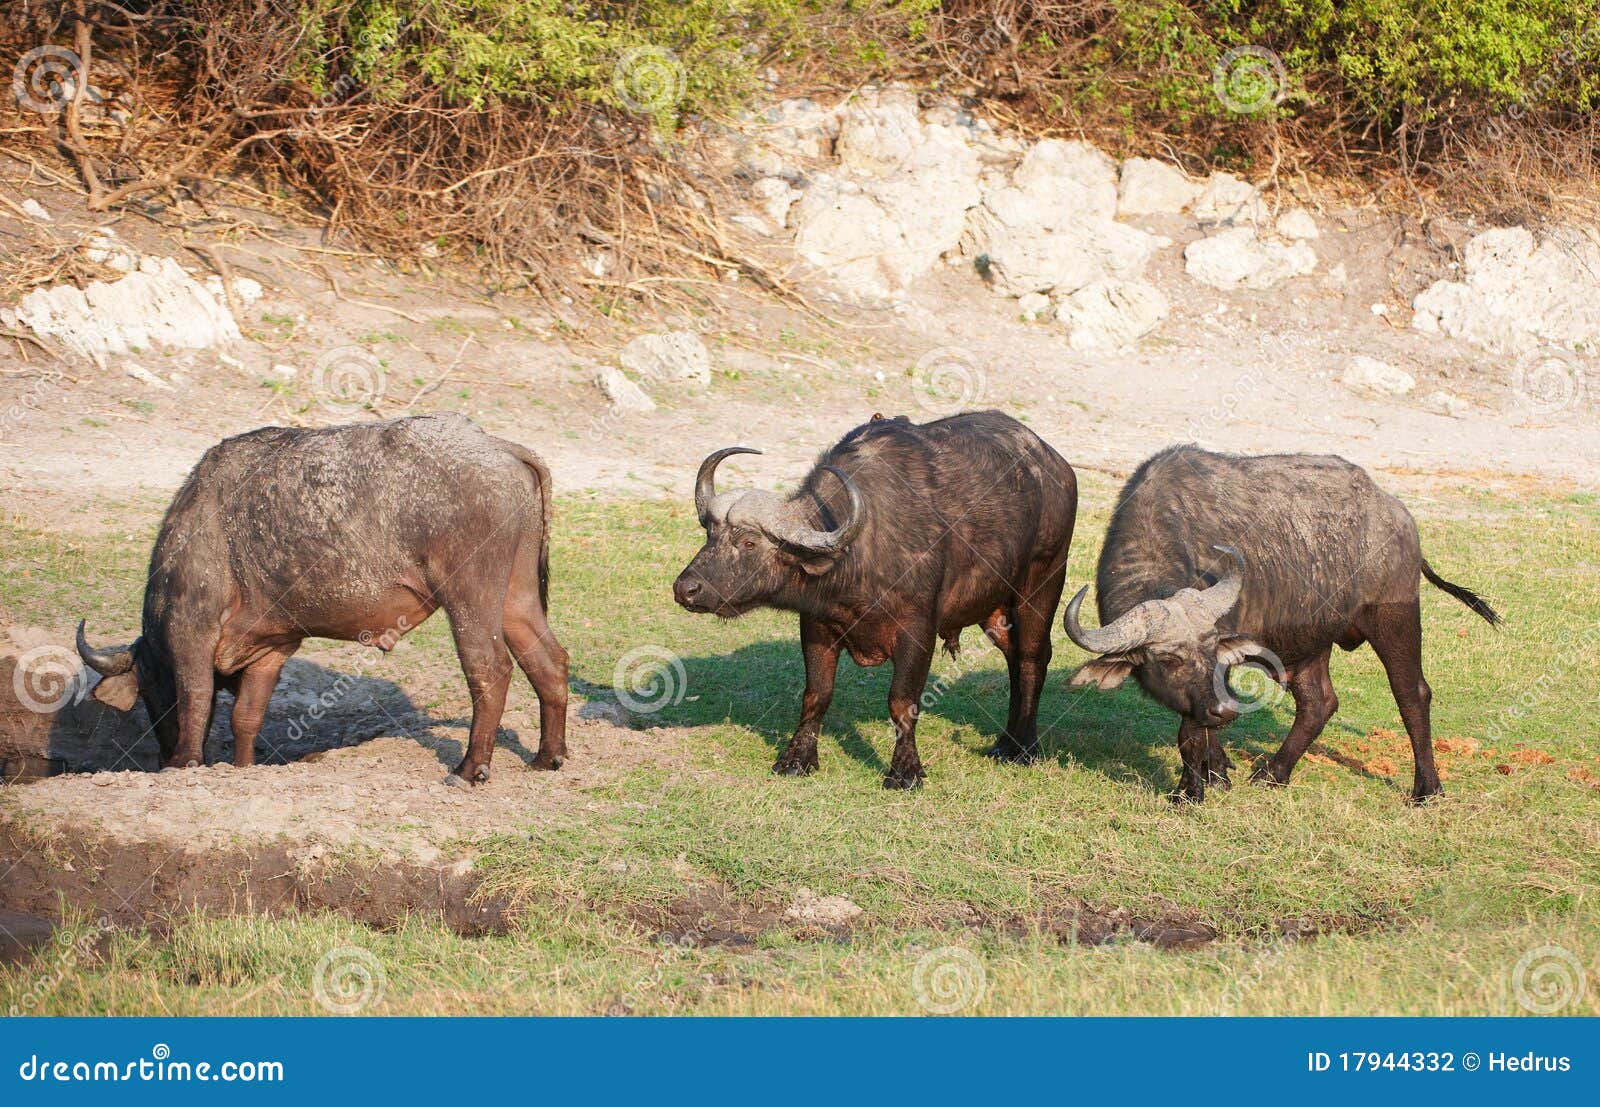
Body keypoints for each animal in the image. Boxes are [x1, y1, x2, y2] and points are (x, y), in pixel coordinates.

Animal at [76, 413, 569, 782]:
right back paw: (548, 757)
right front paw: (242, 767)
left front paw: (185, 763)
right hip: (516, 597)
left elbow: (196, 701)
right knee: (549, 661)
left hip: (469, 597)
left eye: (148, 692)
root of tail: (498, 446)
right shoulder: (271, 650)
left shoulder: (190, 632)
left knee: (490, 669)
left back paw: (469, 769)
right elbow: (246, 717)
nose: (160, 755)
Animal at [673, 411, 1078, 788]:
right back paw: (1005, 741)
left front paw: (905, 771)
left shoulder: (917, 631)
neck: (859, 551)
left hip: (1043, 581)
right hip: (993, 606)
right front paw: (796, 759)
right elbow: (816, 694)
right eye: (709, 533)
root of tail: (1057, 466)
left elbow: (902, 702)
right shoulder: (816, 625)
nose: (685, 589)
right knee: (1012, 656)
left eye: (748, 542)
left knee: (1032, 657)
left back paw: (1025, 748)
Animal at [1063, 445, 1500, 803]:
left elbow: (1190, 733)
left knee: (1412, 694)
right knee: (1319, 703)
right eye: (1168, 659)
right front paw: (1216, 773)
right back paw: (1273, 773)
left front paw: (1190, 791)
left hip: (1396, 619)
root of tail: (1397, 513)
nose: (1226, 711)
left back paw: (1427, 788)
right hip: (1310, 643)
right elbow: (1204, 727)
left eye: (1211, 649)